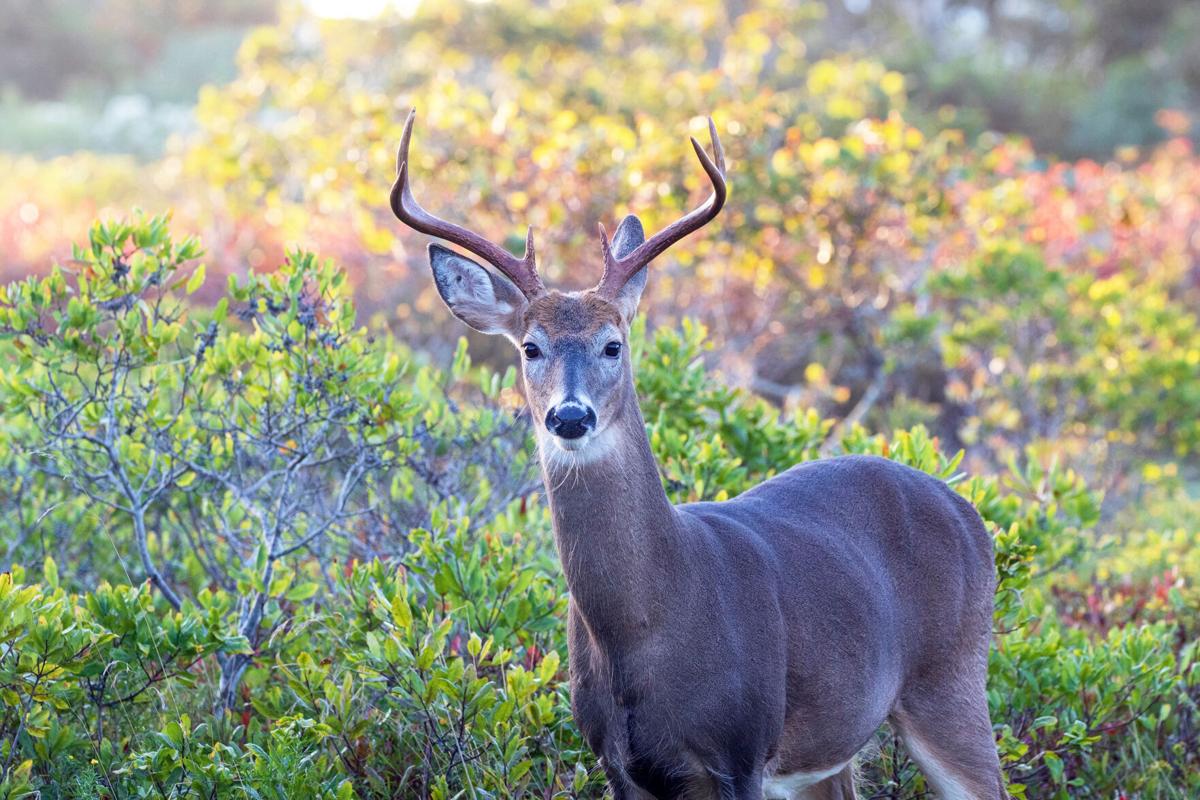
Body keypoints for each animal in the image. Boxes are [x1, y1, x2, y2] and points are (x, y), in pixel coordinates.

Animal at [388, 109, 1005, 800]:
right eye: (530, 347)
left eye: (613, 344)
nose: (570, 416)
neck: (645, 624)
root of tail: (970, 510)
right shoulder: (615, 760)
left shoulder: (739, 749)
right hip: (833, 748)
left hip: (950, 680)